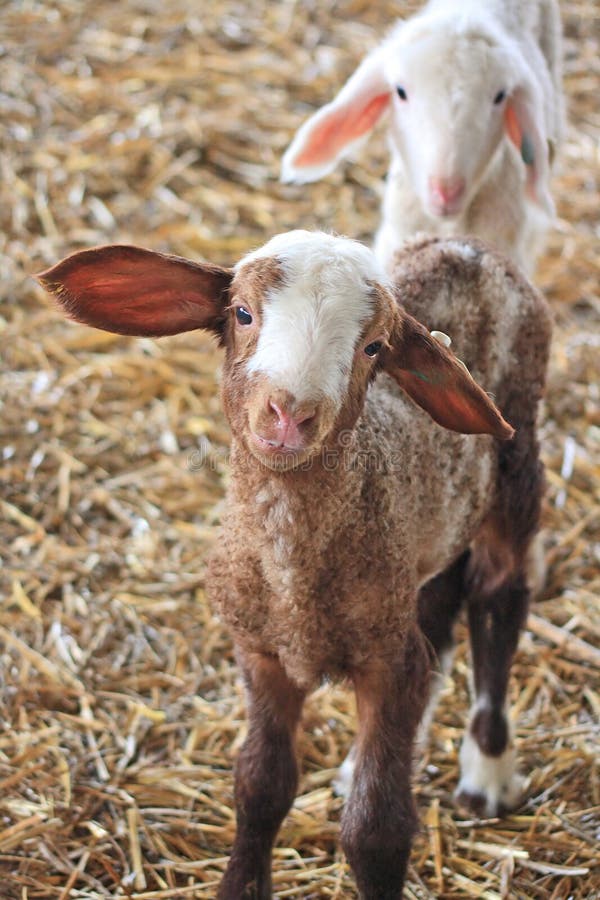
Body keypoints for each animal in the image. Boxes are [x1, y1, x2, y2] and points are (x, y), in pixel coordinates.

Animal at [37, 230, 551, 899]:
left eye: (374, 347)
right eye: (242, 313)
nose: (290, 415)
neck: (292, 579)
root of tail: (465, 247)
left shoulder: (387, 660)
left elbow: (377, 830)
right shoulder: (261, 651)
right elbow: (260, 786)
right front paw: (240, 884)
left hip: (519, 457)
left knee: (500, 596)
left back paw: (487, 770)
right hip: (427, 538)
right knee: (438, 604)